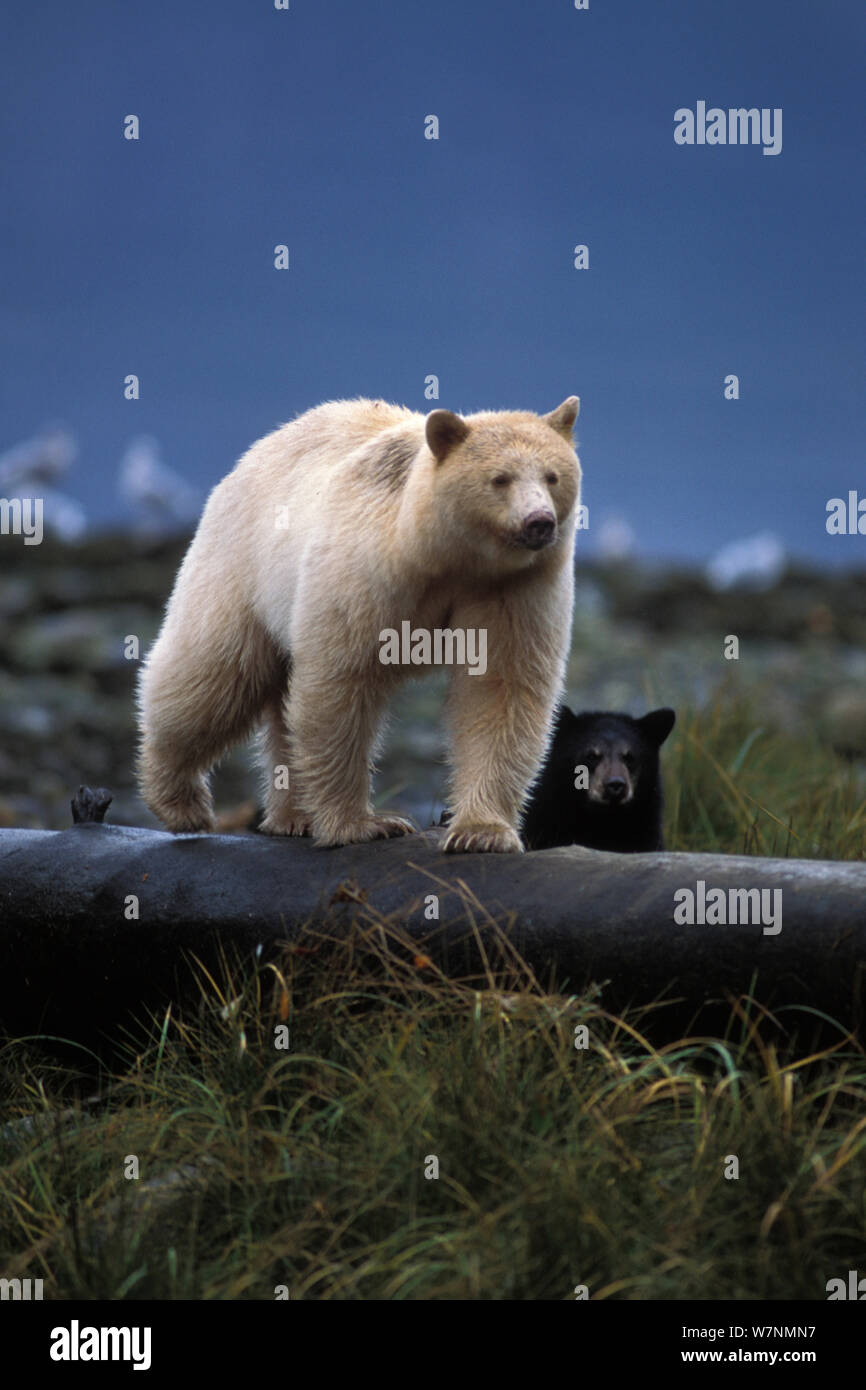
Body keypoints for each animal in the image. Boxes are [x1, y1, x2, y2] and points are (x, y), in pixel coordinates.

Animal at [137, 396, 582, 853]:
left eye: (553, 475)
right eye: (500, 479)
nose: (539, 521)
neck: (444, 553)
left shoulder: (513, 587)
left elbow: (500, 688)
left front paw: (482, 832)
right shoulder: (368, 568)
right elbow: (342, 680)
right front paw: (363, 823)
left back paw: (293, 816)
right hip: (241, 568)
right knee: (212, 674)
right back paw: (180, 800)